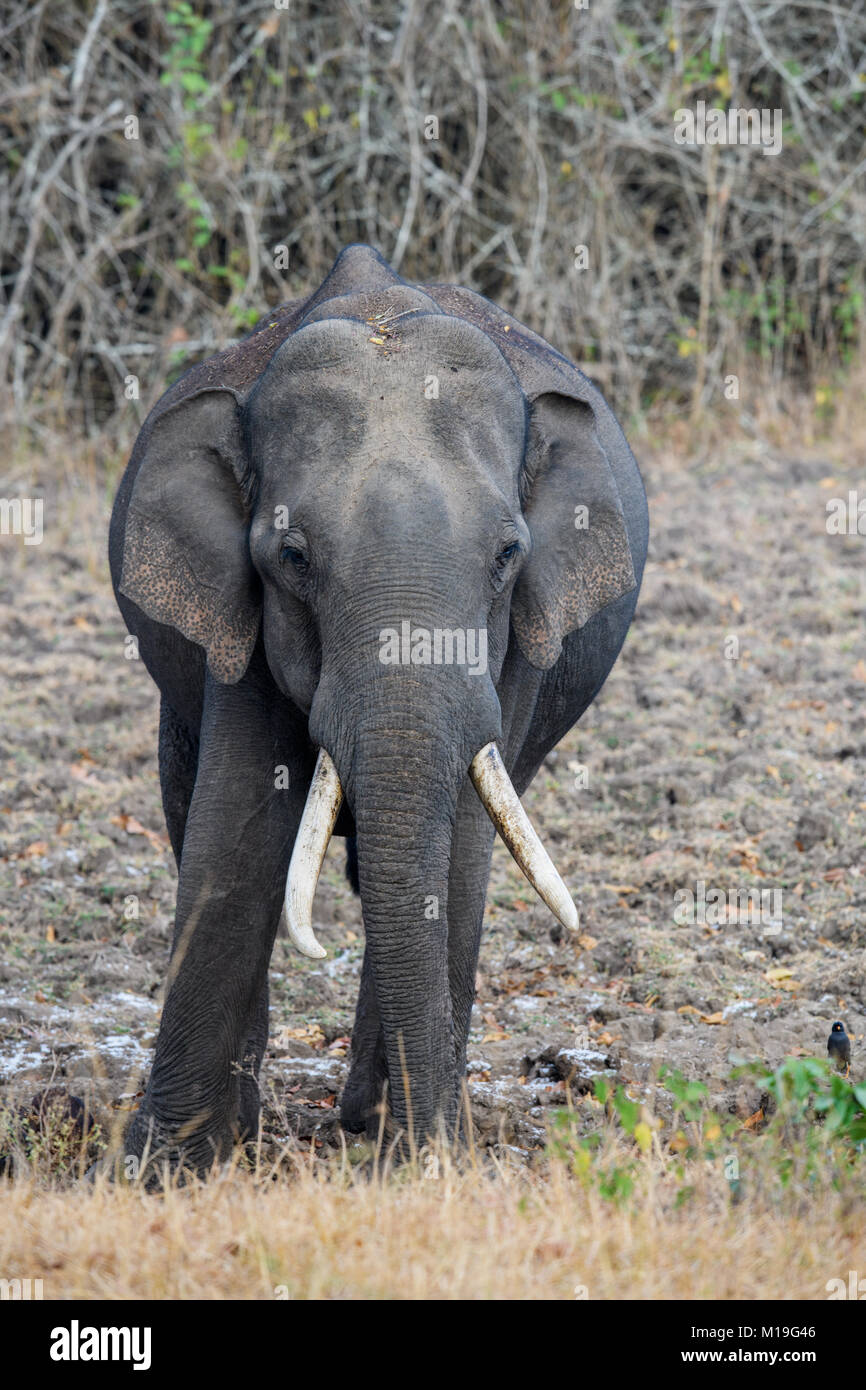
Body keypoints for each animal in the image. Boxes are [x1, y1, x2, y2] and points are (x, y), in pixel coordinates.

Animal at [108, 243, 648, 1176]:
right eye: (292, 555)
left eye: (508, 553)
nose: (435, 1155)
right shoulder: (240, 625)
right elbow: (239, 833)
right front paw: (164, 1174)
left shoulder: (514, 647)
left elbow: (459, 852)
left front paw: (421, 1155)